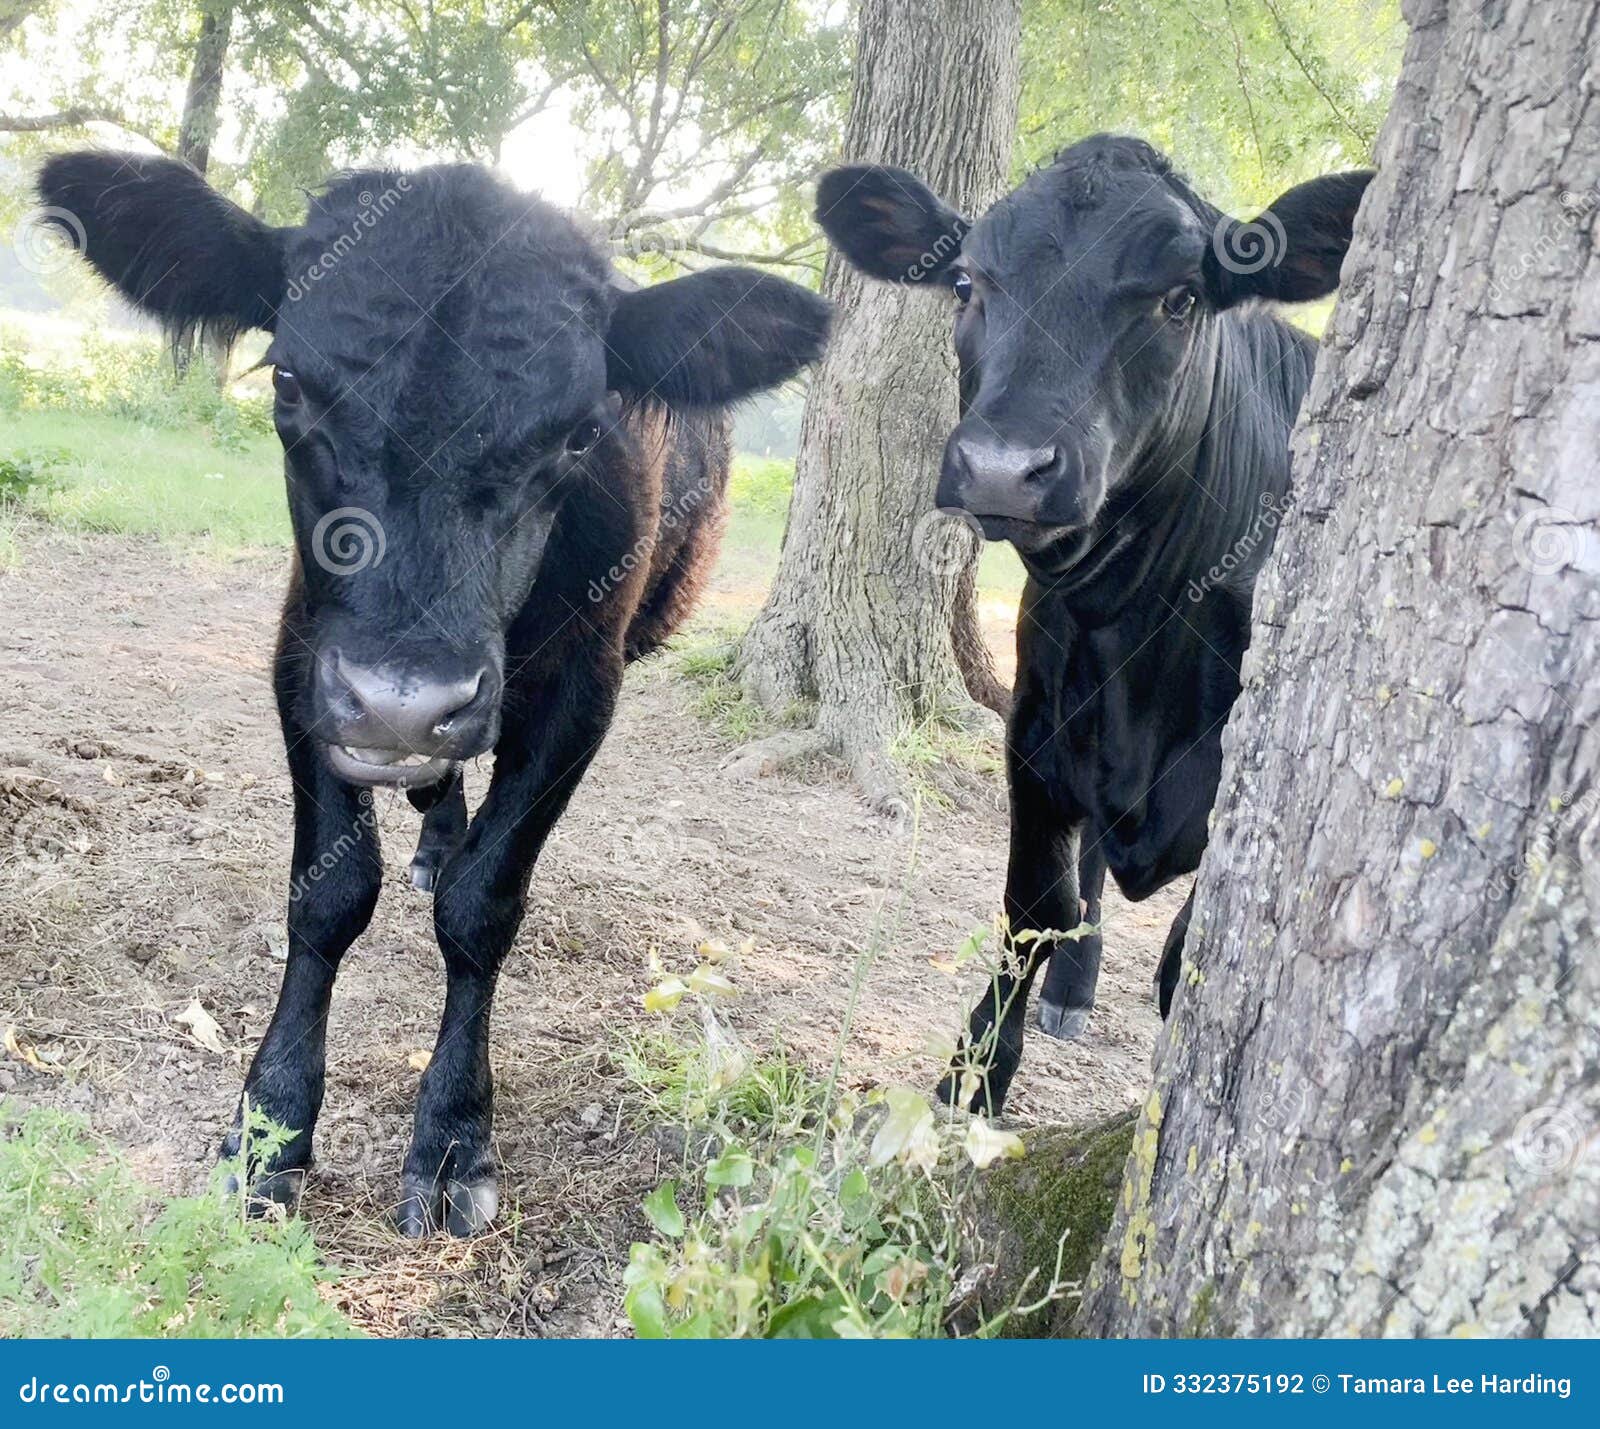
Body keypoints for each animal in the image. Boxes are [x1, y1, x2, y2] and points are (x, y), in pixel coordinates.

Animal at [39, 151, 830, 1233]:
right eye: (288, 380)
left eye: (580, 431)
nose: (403, 701)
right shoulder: (306, 661)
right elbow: (327, 894)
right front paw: (270, 1127)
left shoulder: (581, 693)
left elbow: (483, 904)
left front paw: (454, 1134)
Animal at [815, 134, 1370, 1114]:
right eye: (967, 283)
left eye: (1181, 298)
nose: (1004, 466)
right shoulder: (1037, 731)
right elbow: (1035, 906)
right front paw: (973, 1078)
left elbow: (1186, 959)